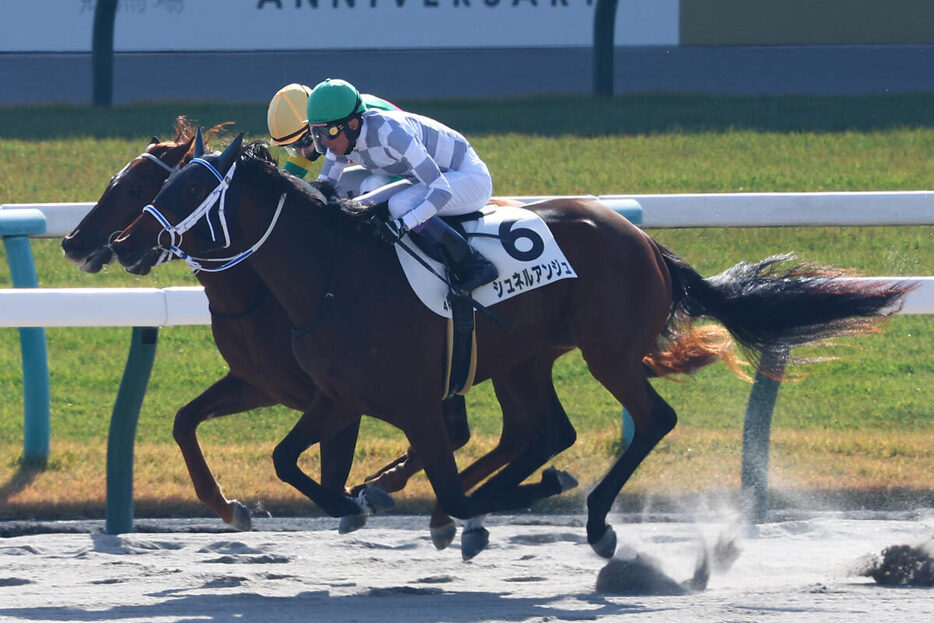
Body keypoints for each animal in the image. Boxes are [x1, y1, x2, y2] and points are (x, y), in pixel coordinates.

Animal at [64, 119, 473, 544]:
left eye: (136, 187)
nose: (73, 243)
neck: (259, 294)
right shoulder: (261, 382)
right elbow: (184, 421)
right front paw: (230, 509)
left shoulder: (339, 396)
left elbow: (333, 470)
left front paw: (357, 499)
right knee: (454, 430)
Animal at [111, 131, 913, 558]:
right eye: (156, 185)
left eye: (185, 191)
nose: (120, 244)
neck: (331, 279)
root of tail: (646, 243)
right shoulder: (338, 395)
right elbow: (290, 460)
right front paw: (367, 502)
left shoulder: (409, 401)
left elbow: (433, 467)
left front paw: (424, 506)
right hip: (527, 358)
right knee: (542, 432)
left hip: (606, 350)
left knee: (648, 419)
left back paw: (590, 519)